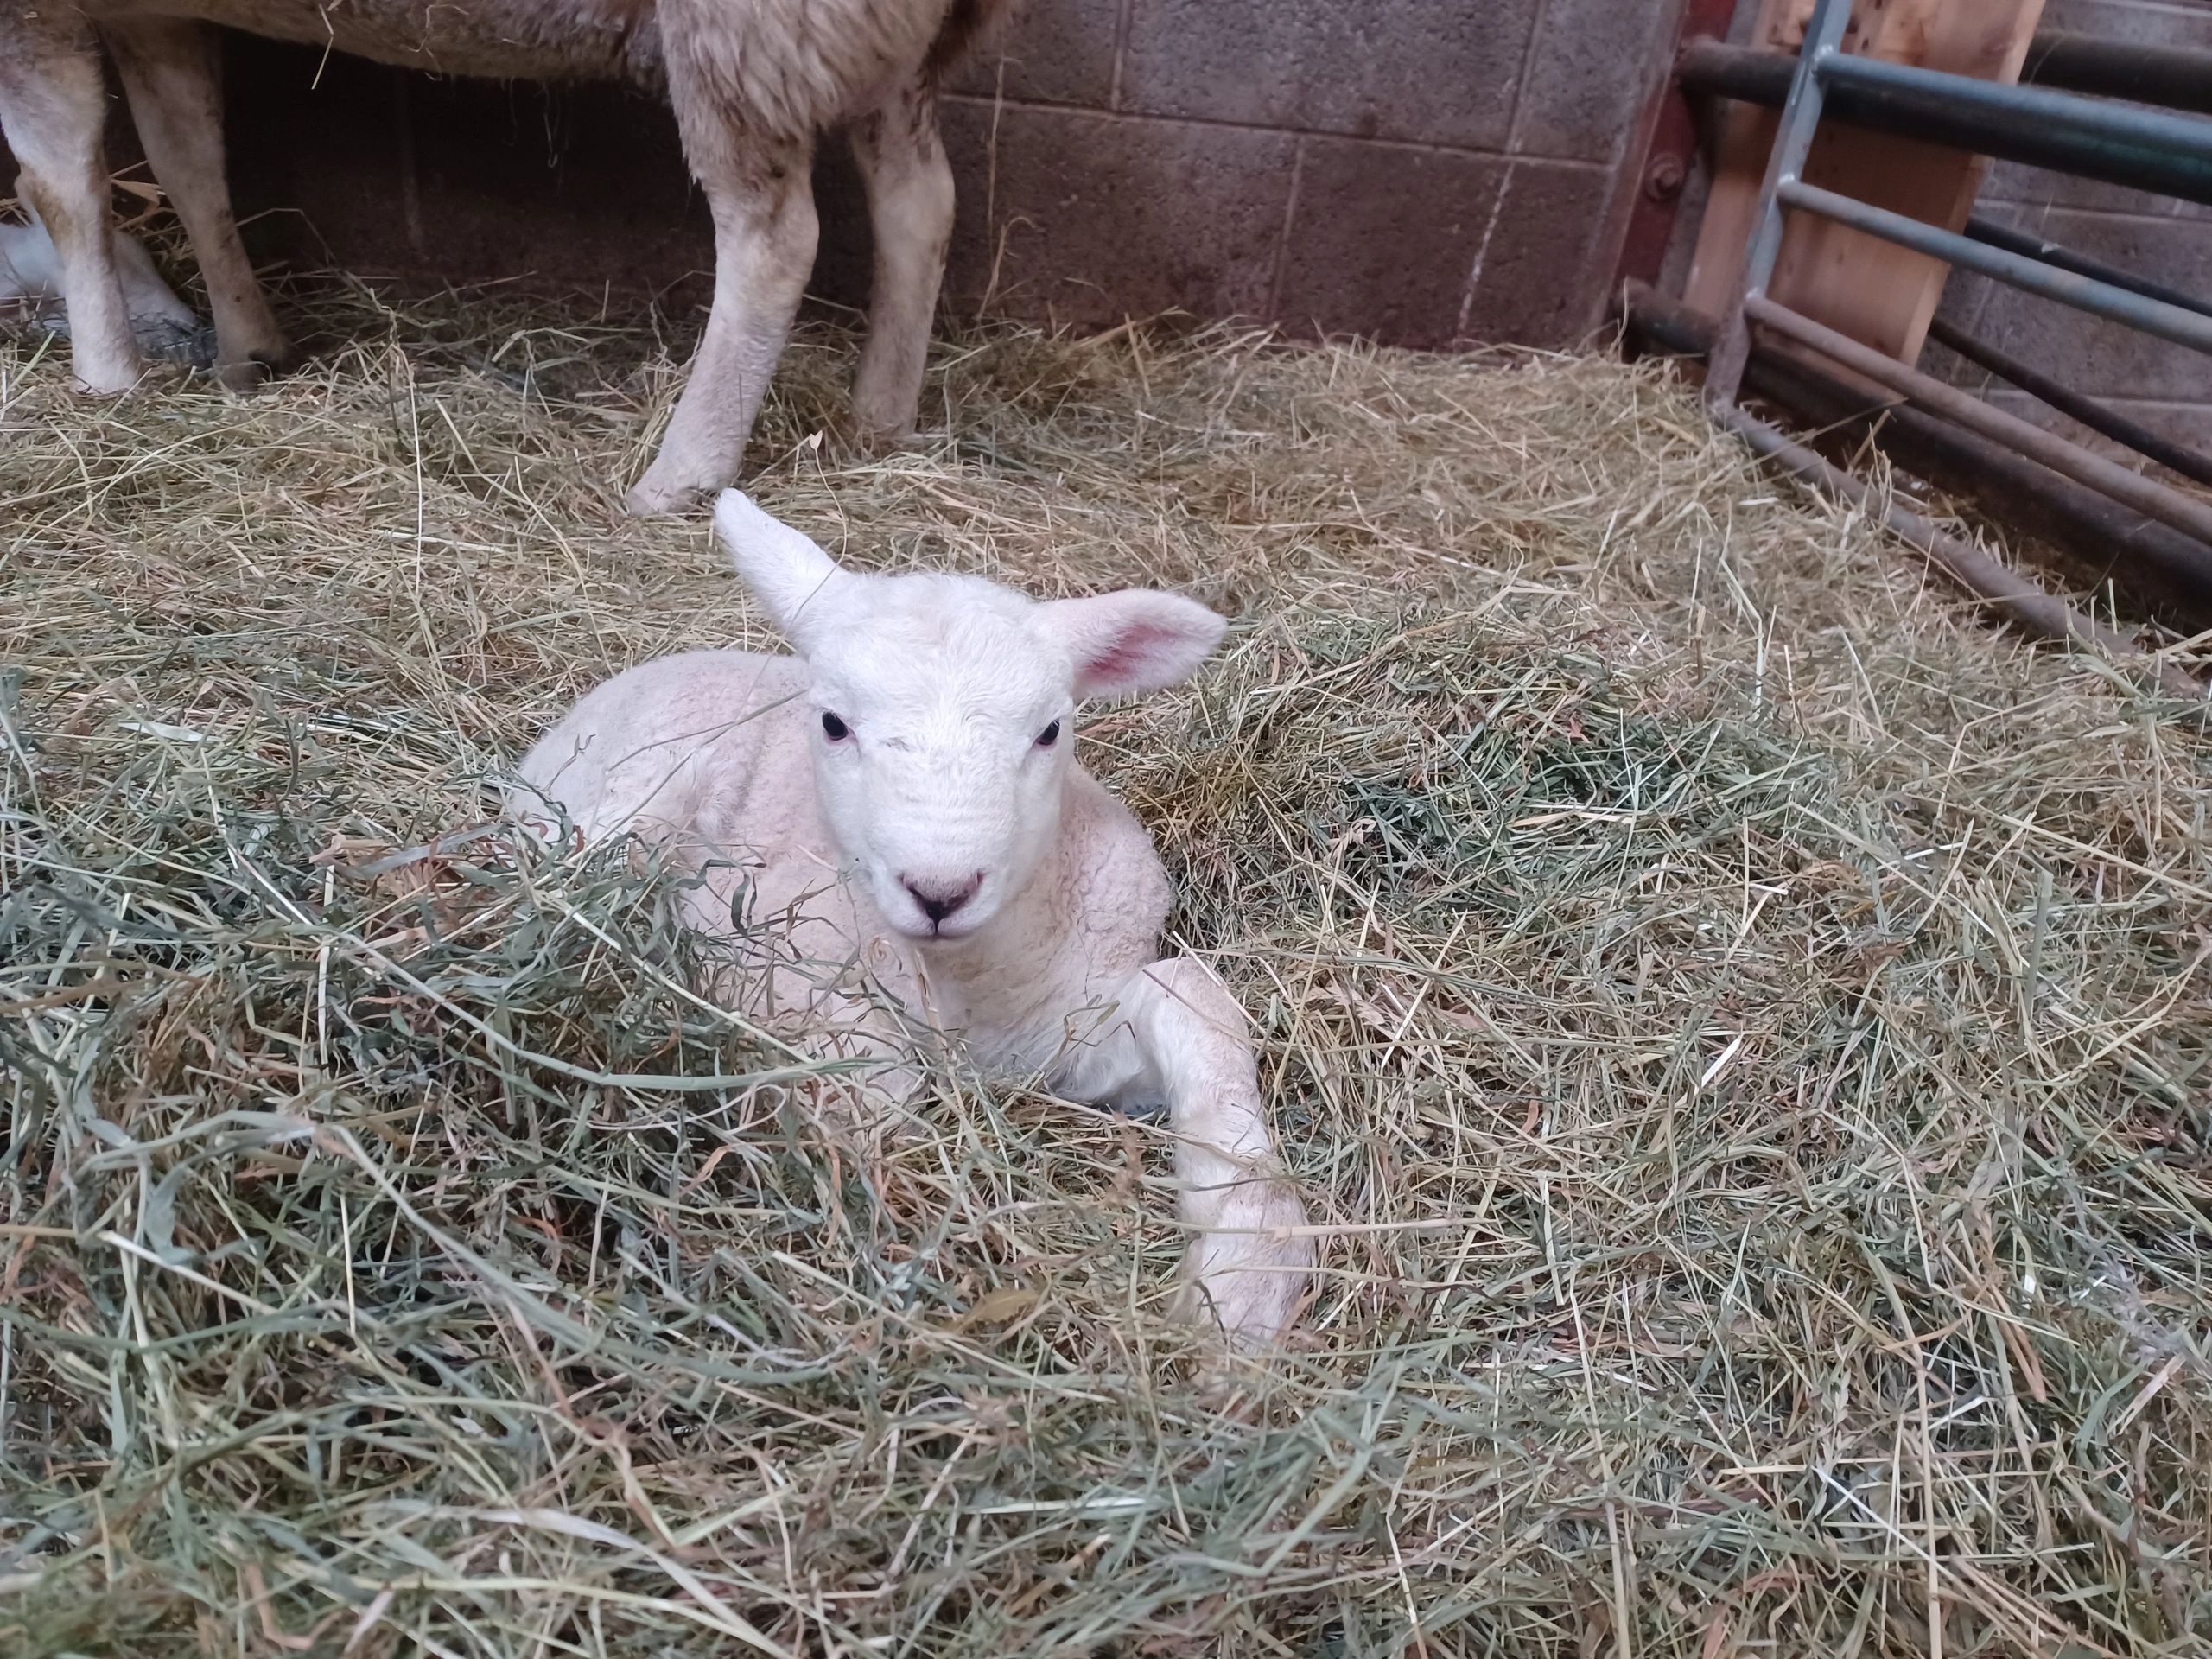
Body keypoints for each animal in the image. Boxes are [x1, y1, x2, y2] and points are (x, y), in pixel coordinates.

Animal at [0, 0, 1008, 511]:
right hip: (888, 43)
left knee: (775, 239)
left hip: (750, 31)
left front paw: (104, 378)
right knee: (919, 200)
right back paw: (881, 414)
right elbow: (185, 153)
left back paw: (681, 472)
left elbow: (62, 178)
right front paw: (247, 347)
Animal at [511, 491, 1315, 1350]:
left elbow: (1198, 1001)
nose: (940, 889)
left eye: (1049, 731)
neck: (964, 985)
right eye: (833, 723)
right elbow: (869, 1078)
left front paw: (1241, 1288)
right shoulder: (765, 960)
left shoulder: (1077, 1029)